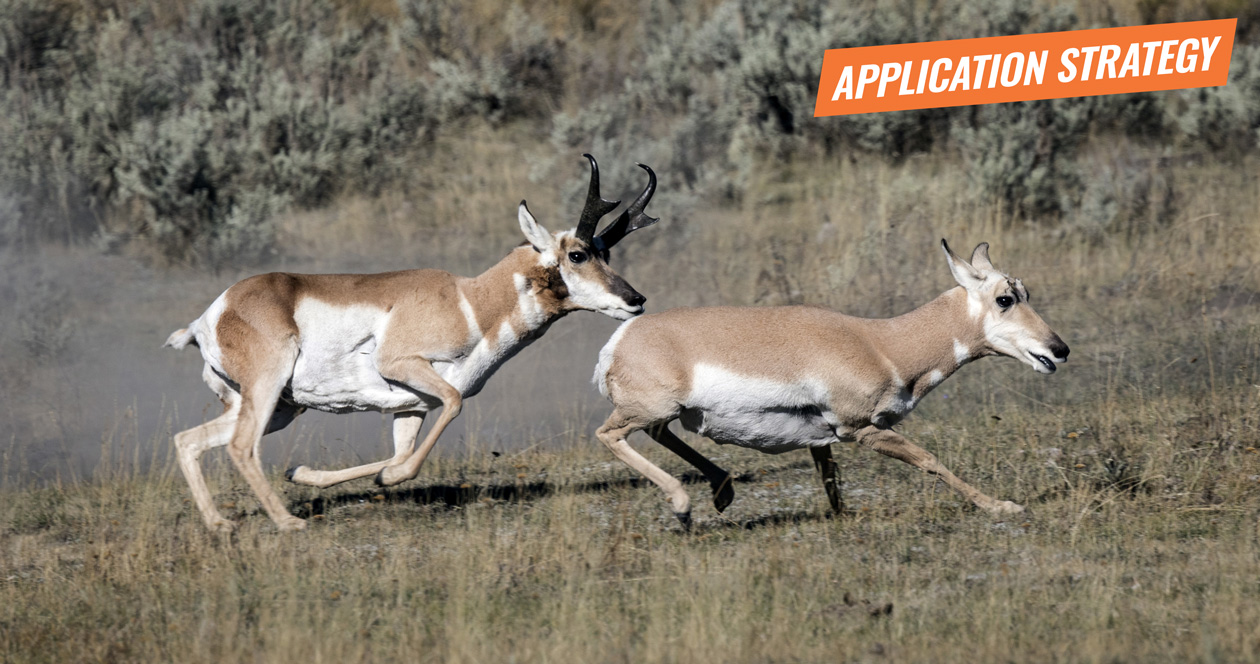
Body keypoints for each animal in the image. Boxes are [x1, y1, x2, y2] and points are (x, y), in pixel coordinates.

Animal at [166, 155, 660, 532]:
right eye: (577, 254)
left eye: (606, 253)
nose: (636, 300)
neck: (470, 301)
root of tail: (214, 312)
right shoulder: (407, 369)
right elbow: (447, 412)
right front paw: (388, 478)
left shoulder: (411, 406)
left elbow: (399, 453)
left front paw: (310, 473)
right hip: (268, 391)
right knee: (240, 447)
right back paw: (289, 523)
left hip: (278, 408)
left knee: (189, 441)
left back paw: (220, 524)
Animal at [592, 241, 1069, 526]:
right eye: (1005, 298)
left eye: (1025, 292)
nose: (1060, 349)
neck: (881, 342)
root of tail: (623, 338)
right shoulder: (863, 429)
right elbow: (929, 459)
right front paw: (1003, 505)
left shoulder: (820, 440)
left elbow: (830, 480)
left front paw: (842, 517)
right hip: (647, 411)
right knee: (608, 434)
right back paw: (683, 505)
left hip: (667, 414)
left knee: (657, 435)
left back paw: (722, 492)